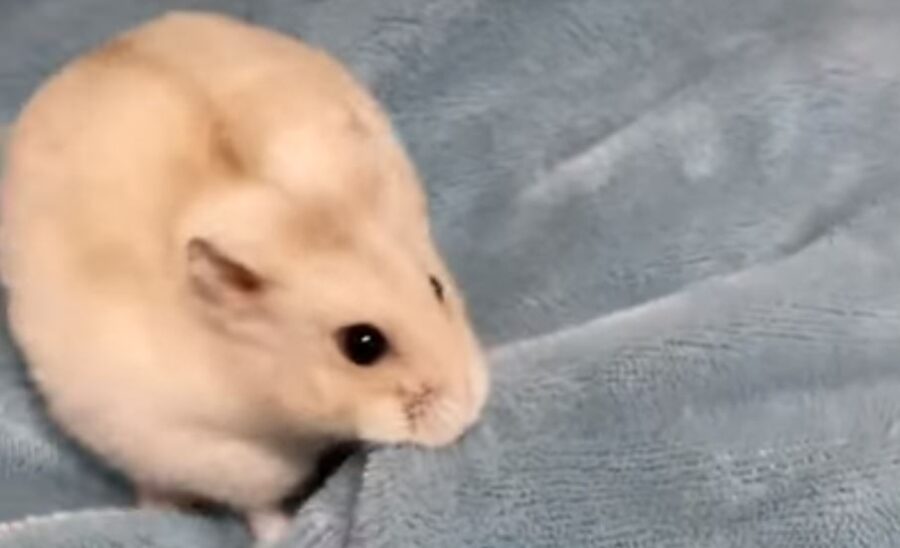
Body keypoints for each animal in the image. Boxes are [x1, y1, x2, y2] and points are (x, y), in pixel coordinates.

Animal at [0, 11, 488, 543]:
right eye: (362, 345)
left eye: (436, 287)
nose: (470, 410)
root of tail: (88, 56)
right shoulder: (217, 452)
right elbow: (261, 505)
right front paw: (284, 535)